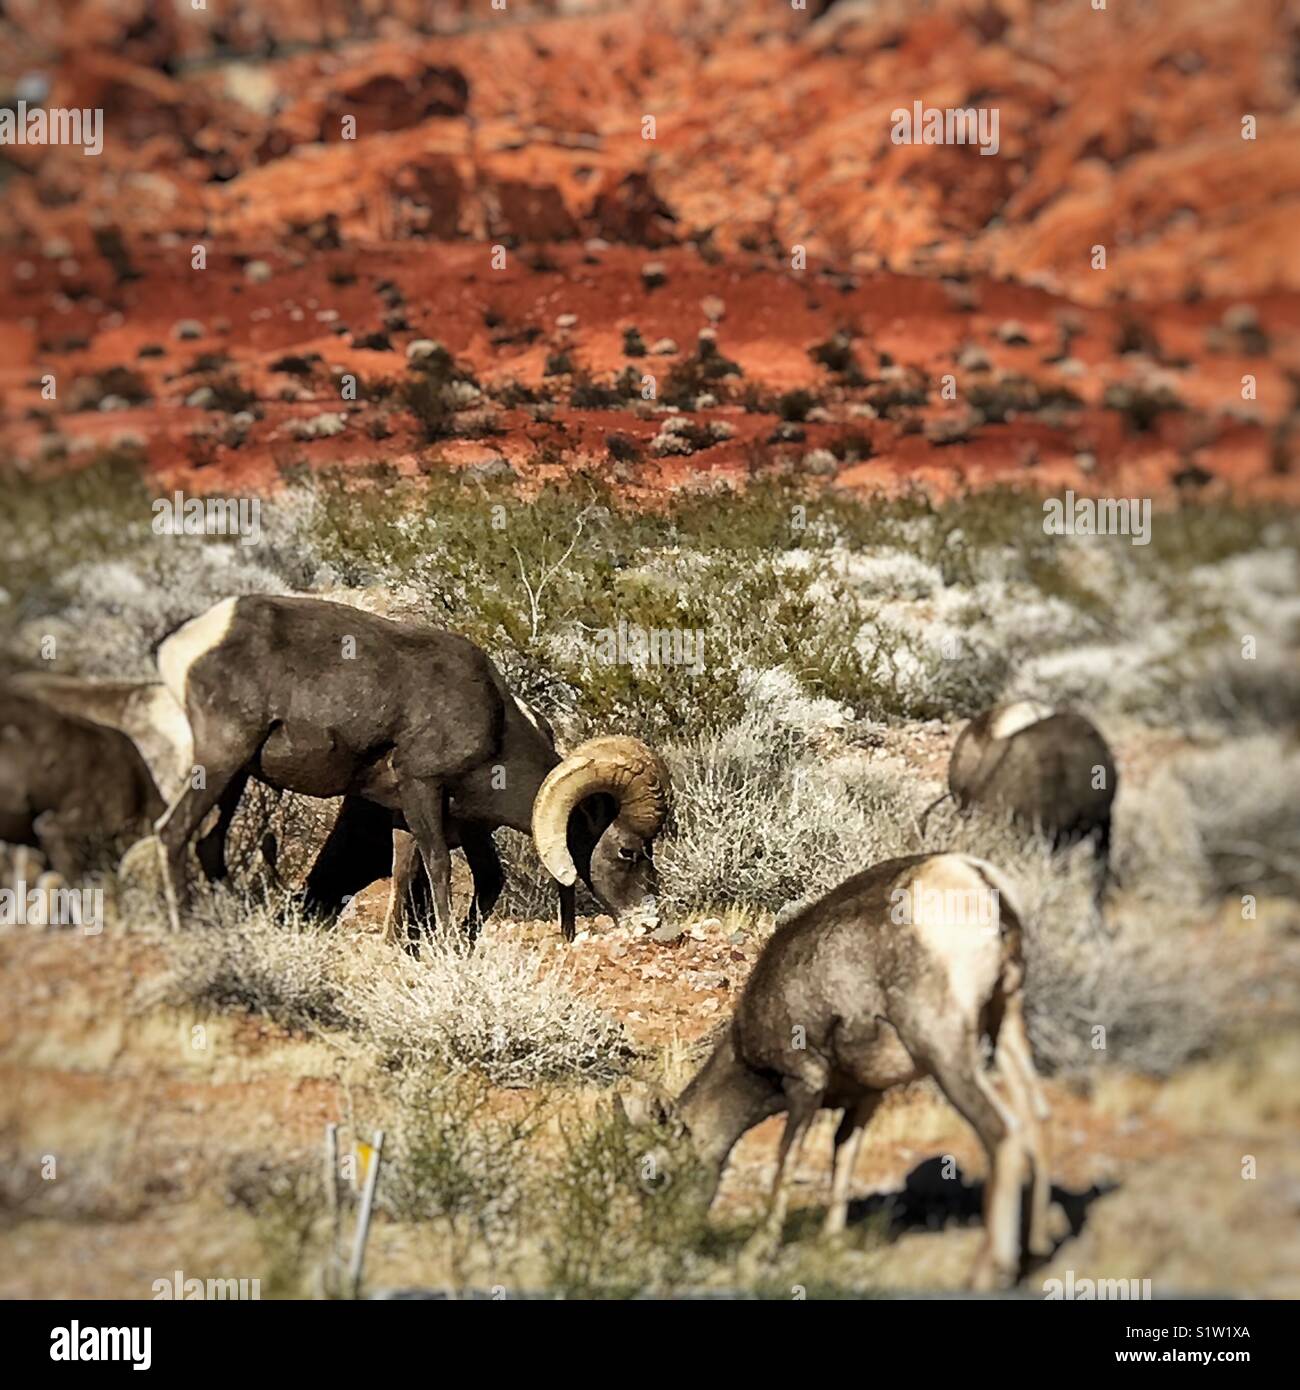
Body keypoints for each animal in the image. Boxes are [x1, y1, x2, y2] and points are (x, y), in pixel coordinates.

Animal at [147, 595, 670, 938]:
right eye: (627, 851)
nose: (651, 920)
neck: (495, 722)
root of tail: (187, 641)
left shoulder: (402, 812)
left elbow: (405, 875)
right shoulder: (425, 788)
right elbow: (438, 867)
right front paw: (448, 944)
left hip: (235, 777)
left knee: (209, 844)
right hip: (221, 759)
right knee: (173, 833)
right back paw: (185, 929)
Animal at [619, 852, 1051, 1290]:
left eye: (655, 1176)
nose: (661, 1242)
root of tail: (975, 877)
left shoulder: (804, 1084)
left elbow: (785, 1165)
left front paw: (755, 1256)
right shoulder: (865, 1099)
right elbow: (841, 1165)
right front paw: (831, 1243)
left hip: (945, 1047)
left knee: (1002, 1132)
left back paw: (988, 1272)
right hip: (1005, 1023)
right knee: (1035, 1120)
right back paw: (1035, 1251)